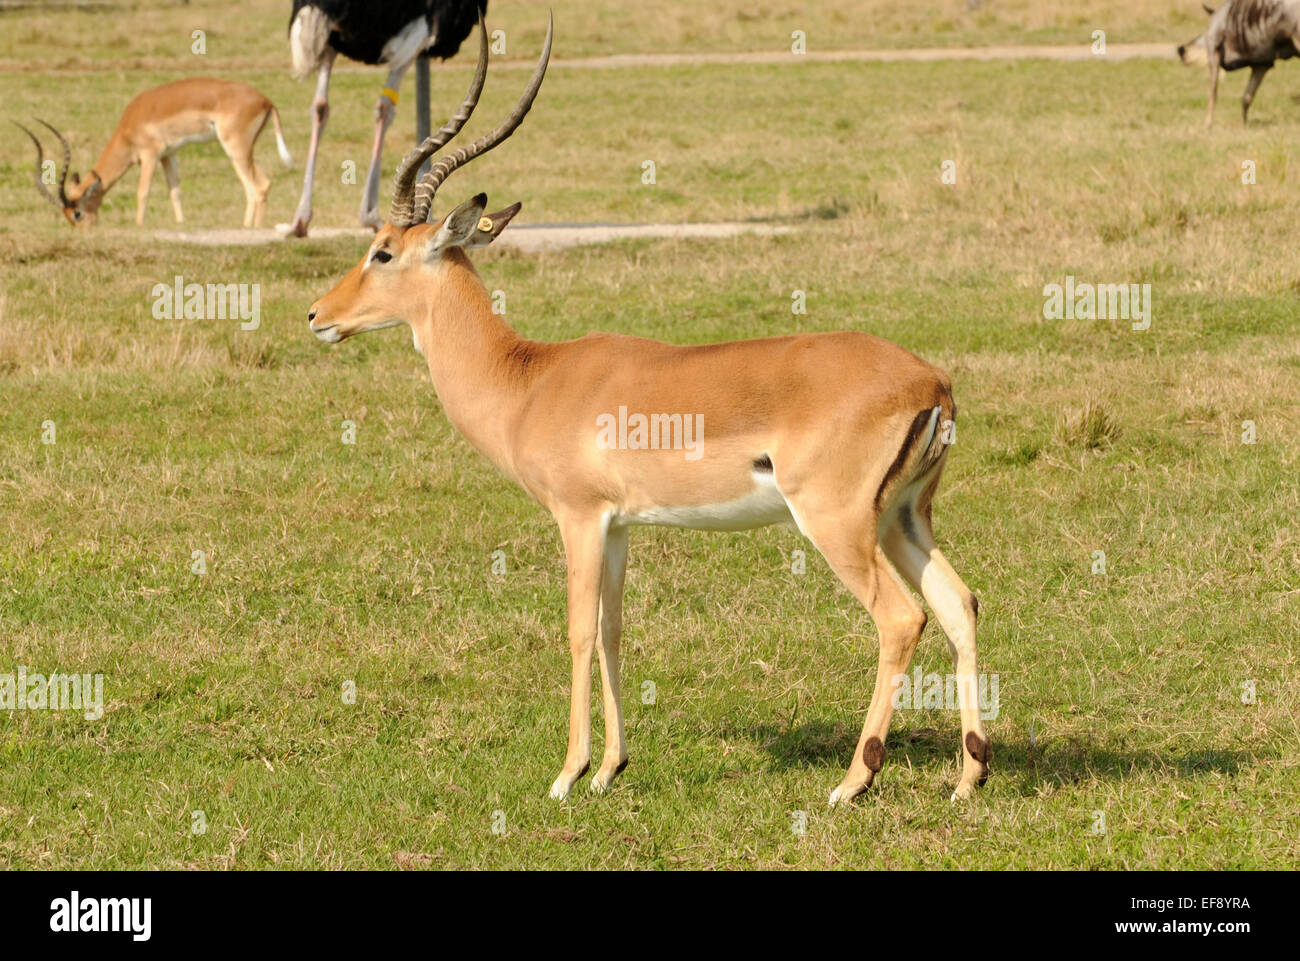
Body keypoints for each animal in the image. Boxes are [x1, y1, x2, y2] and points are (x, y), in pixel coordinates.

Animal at [16, 78, 293, 228]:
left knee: (256, 186)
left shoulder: (149, 156)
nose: (86, 231)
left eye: (77, 213)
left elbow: (143, 192)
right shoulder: (168, 156)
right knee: (260, 185)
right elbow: (175, 192)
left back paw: (249, 229)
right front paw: (180, 224)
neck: (130, 125)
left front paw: (139, 226)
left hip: (235, 149)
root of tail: (265, 100)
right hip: (244, 150)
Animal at [306, 15, 991, 804]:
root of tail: (930, 380)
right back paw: (968, 776)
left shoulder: (576, 517)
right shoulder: (620, 525)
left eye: (383, 252)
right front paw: (610, 768)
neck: (530, 377)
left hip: (838, 521)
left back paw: (852, 782)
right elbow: (612, 630)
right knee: (959, 602)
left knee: (901, 618)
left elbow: (576, 630)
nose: (318, 315)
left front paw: (567, 773)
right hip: (904, 516)